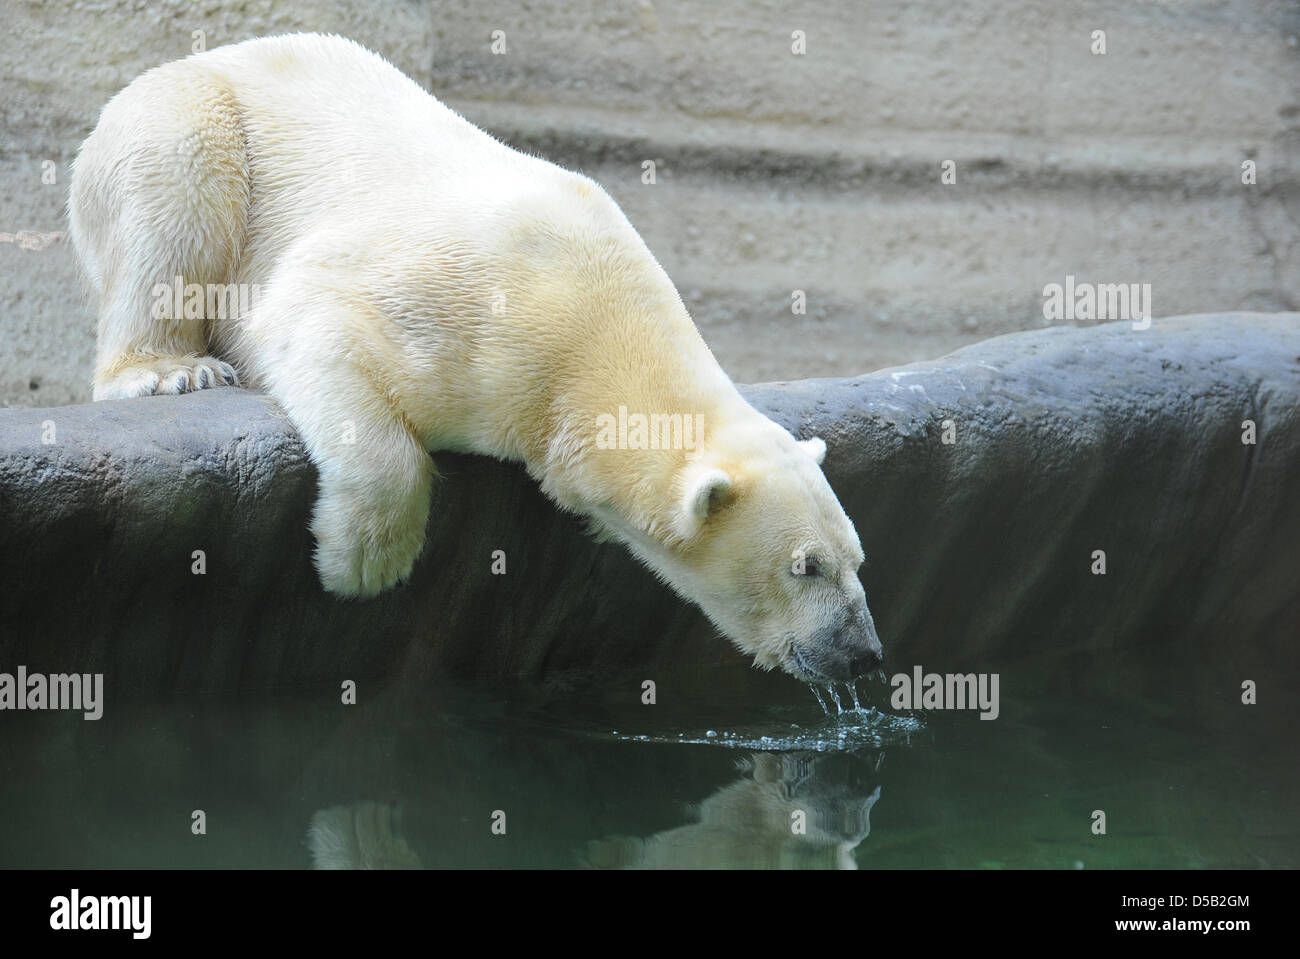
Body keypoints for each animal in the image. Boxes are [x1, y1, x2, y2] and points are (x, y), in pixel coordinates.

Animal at [68, 33, 882, 684]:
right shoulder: (479, 311)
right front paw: (363, 562)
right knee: (176, 196)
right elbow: (318, 315)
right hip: (191, 120)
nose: (863, 654)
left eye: (857, 557)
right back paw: (168, 370)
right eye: (804, 566)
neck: (598, 332)